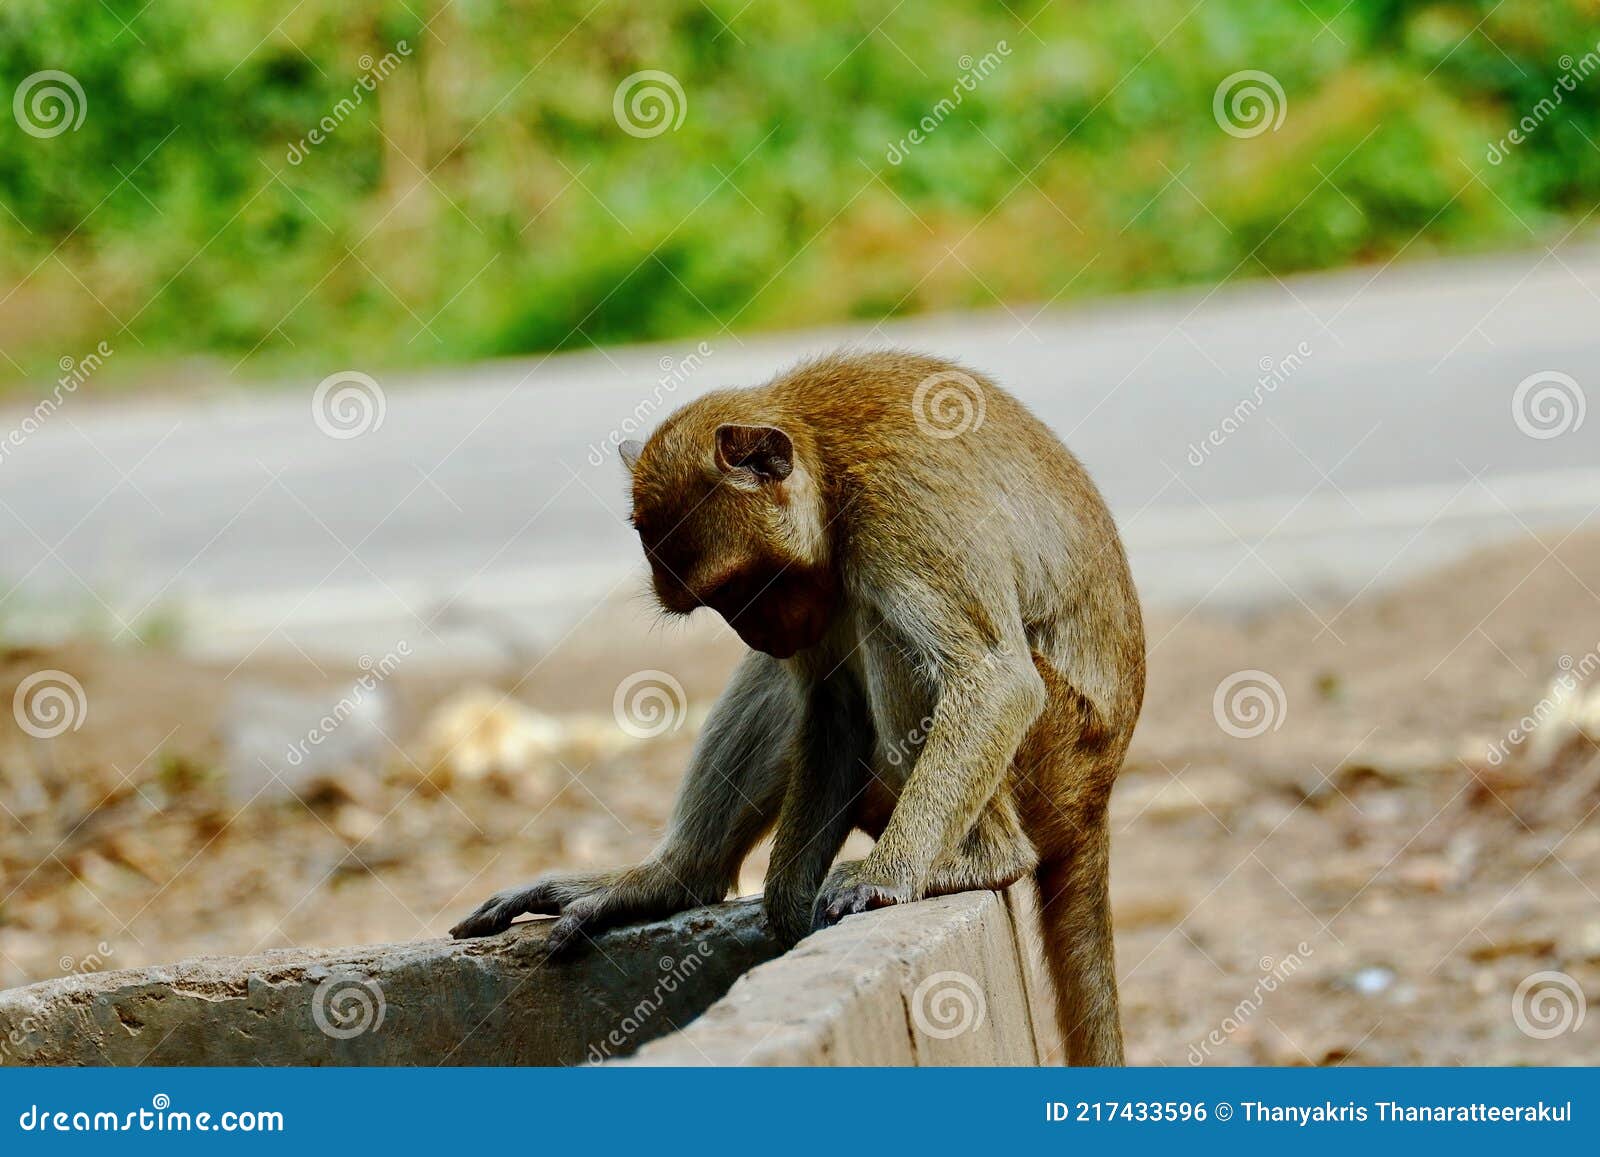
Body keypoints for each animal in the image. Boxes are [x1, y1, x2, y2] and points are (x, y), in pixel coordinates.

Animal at [451, 349, 1145, 1066]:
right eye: (720, 602)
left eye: (743, 587)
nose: (759, 634)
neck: (828, 467)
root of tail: (1094, 798)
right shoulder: (826, 580)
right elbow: (830, 703)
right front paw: (785, 904)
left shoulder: (900, 509)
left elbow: (994, 681)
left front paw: (889, 874)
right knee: (801, 675)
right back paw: (674, 878)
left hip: (1058, 748)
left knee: (890, 632)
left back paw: (986, 857)